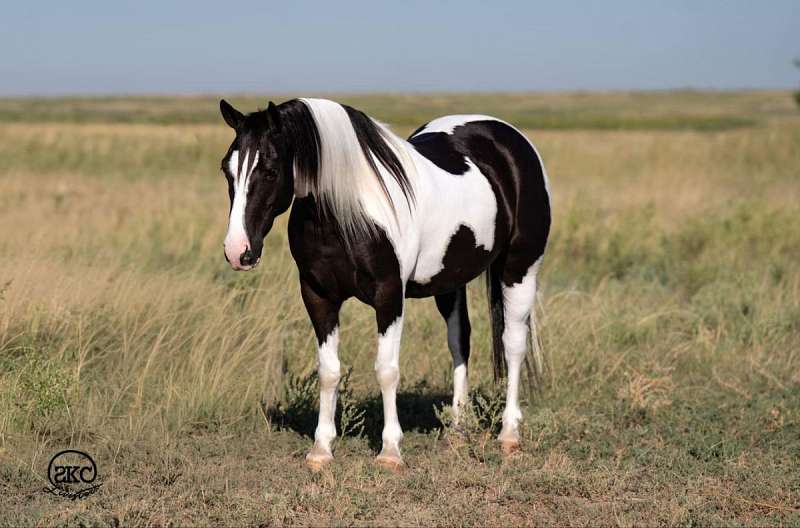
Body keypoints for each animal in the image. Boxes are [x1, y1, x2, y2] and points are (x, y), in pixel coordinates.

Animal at [218, 97, 551, 470]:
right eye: (227, 170)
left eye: (271, 170)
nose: (238, 251)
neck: (350, 210)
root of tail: (508, 136)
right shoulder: (318, 295)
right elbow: (328, 370)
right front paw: (321, 449)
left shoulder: (389, 296)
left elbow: (386, 370)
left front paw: (390, 451)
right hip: (450, 281)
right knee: (459, 341)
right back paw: (457, 428)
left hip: (520, 269)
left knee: (514, 344)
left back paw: (509, 434)